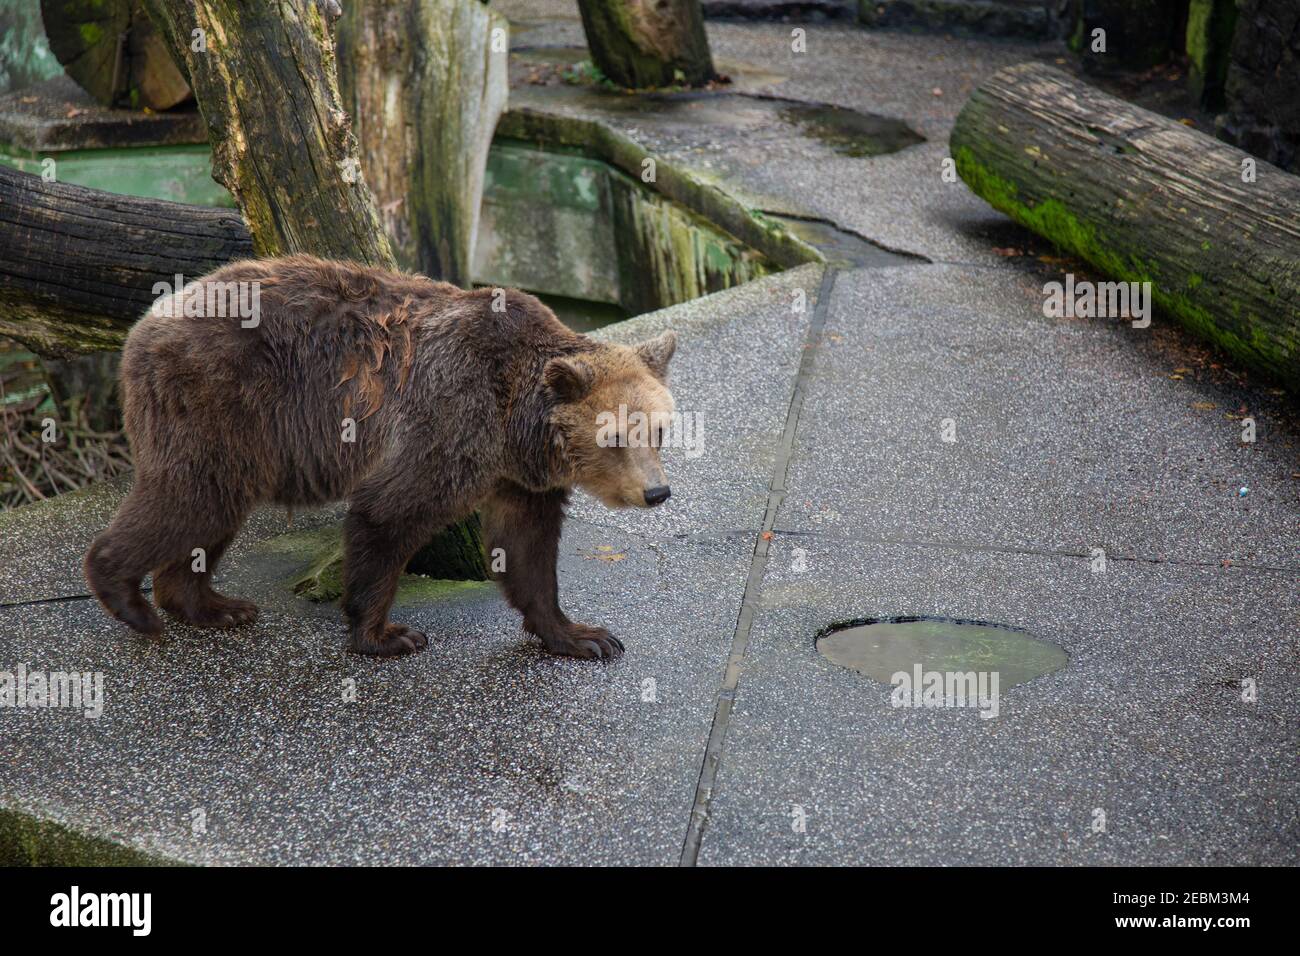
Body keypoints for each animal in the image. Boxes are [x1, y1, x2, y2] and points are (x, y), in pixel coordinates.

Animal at [84, 254, 677, 660]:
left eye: (660, 430)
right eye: (614, 437)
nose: (657, 492)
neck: (514, 419)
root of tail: (151, 317)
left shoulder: (515, 475)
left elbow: (527, 547)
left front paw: (583, 635)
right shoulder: (449, 418)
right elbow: (388, 513)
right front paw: (387, 633)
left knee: (211, 513)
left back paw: (213, 605)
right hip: (220, 403)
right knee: (189, 498)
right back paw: (128, 597)